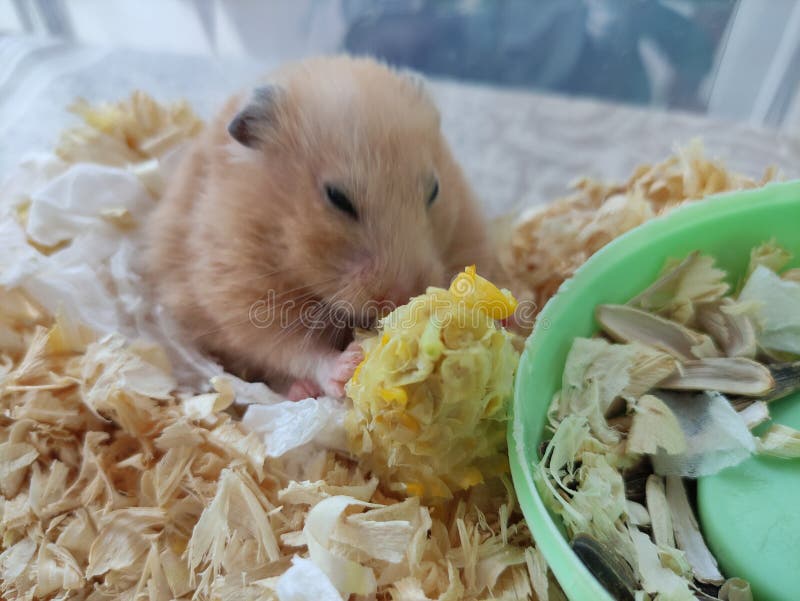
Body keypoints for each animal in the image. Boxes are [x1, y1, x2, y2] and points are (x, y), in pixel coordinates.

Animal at [145, 56, 498, 400]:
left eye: (435, 190)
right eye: (337, 198)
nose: (402, 298)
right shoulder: (235, 285)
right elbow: (287, 347)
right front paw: (348, 364)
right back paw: (300, 390)